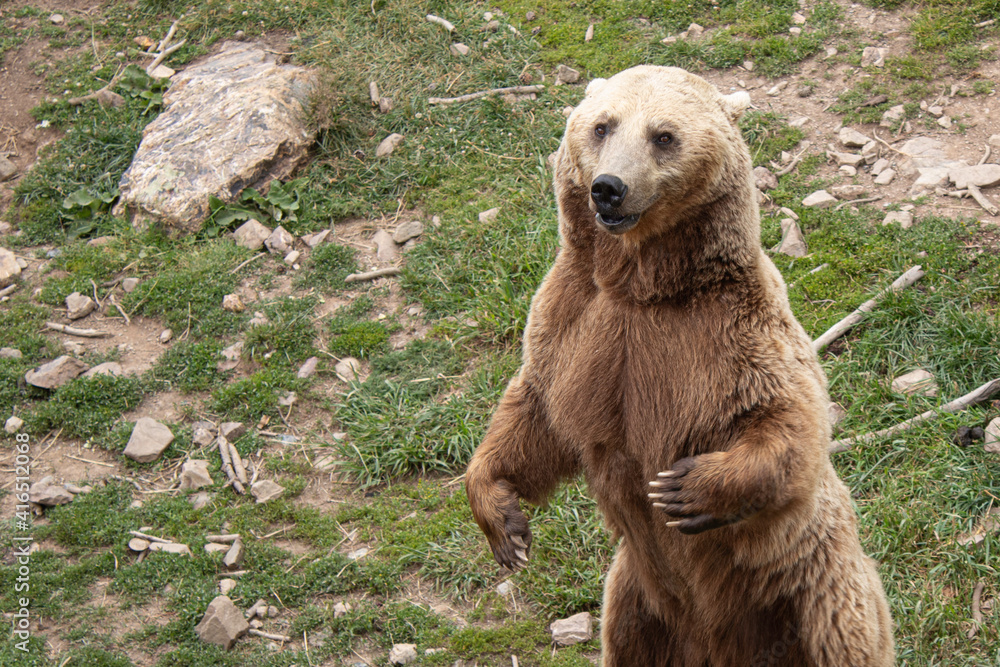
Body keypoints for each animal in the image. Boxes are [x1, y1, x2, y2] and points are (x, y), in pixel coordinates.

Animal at [465, 65, 894, 666]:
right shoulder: (574, 324)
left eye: (663, 135)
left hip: (813, 587)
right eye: (602, 126)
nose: (609, 187)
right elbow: (534, 415)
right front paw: (506, 527)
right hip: (638, 601)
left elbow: (790, 422)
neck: (643, 284)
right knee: (628, 637)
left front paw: (682, 488)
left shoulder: (733, 335)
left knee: (843, 633)